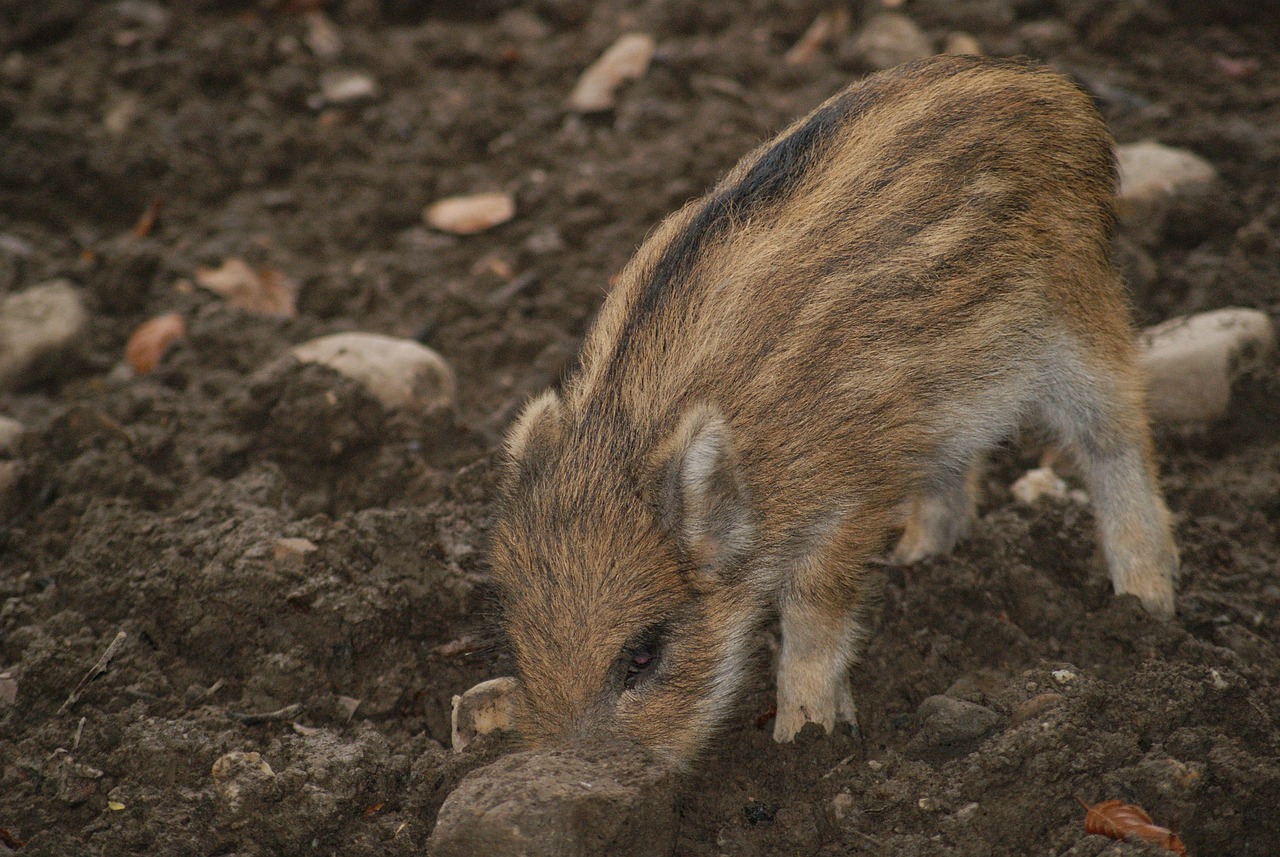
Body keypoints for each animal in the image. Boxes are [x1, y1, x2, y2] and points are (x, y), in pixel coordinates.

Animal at [489, 55, 1179, 766]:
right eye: (517, 646)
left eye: (644, 654)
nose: (567, 772)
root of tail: (1058, 91)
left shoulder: (852, 498)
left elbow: (813, 609)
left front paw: (804, 735)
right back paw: (919, 560)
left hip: (1081, 317)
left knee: (1117, 439)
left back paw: (1147, 601)